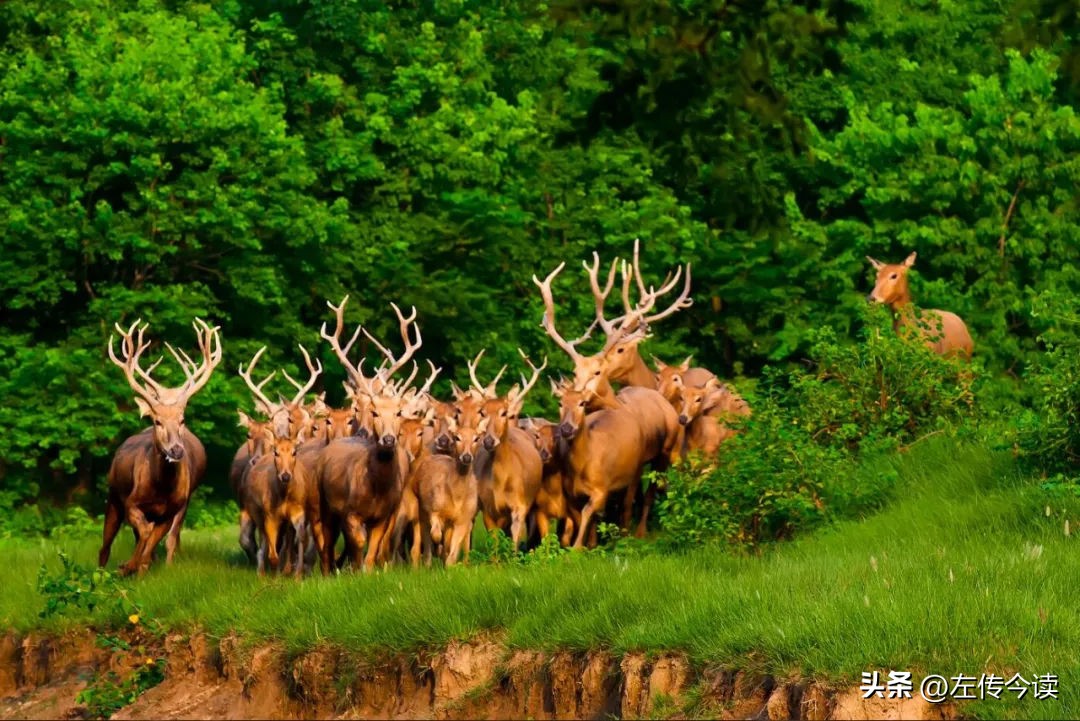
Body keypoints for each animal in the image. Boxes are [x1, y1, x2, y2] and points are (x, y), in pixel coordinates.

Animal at [99, 318, 221, 576]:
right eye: (157, 421)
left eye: (182, 420)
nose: (176, 450)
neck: (160, 489)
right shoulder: (131, 503)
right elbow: (144, 534)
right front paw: (127, 566)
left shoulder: (171, 509)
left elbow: (154, 541)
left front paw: (135, 566)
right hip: (113, 496)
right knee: (104, 547)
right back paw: (103, 572)